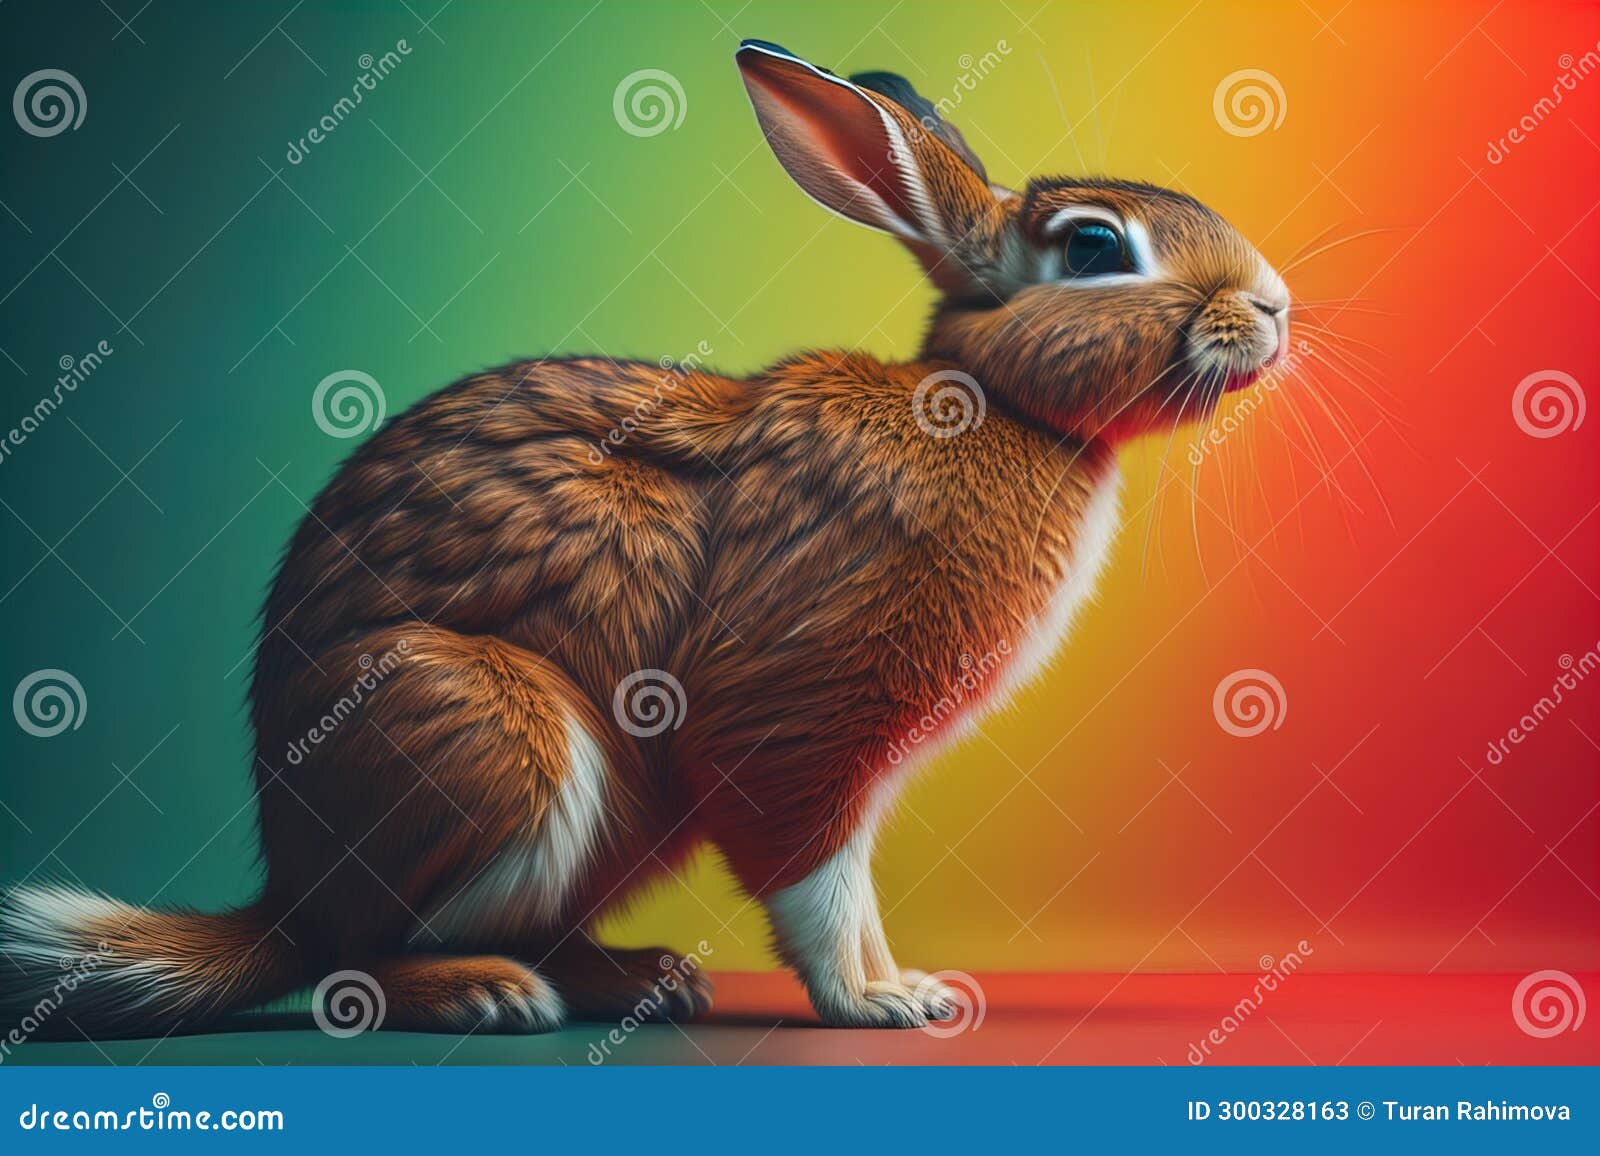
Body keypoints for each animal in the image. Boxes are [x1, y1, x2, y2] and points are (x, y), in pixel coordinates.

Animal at [0, 39, 1288, 1037]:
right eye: (1093, 248)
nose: (1272, 307)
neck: (990, 405)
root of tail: (285, 890)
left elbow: (856, 883)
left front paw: (907, 984)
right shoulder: (792, 720)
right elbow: (815, 877)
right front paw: (875, 1004)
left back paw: (635, 980)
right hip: (486, 731)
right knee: (348, 963)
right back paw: (482, 994)